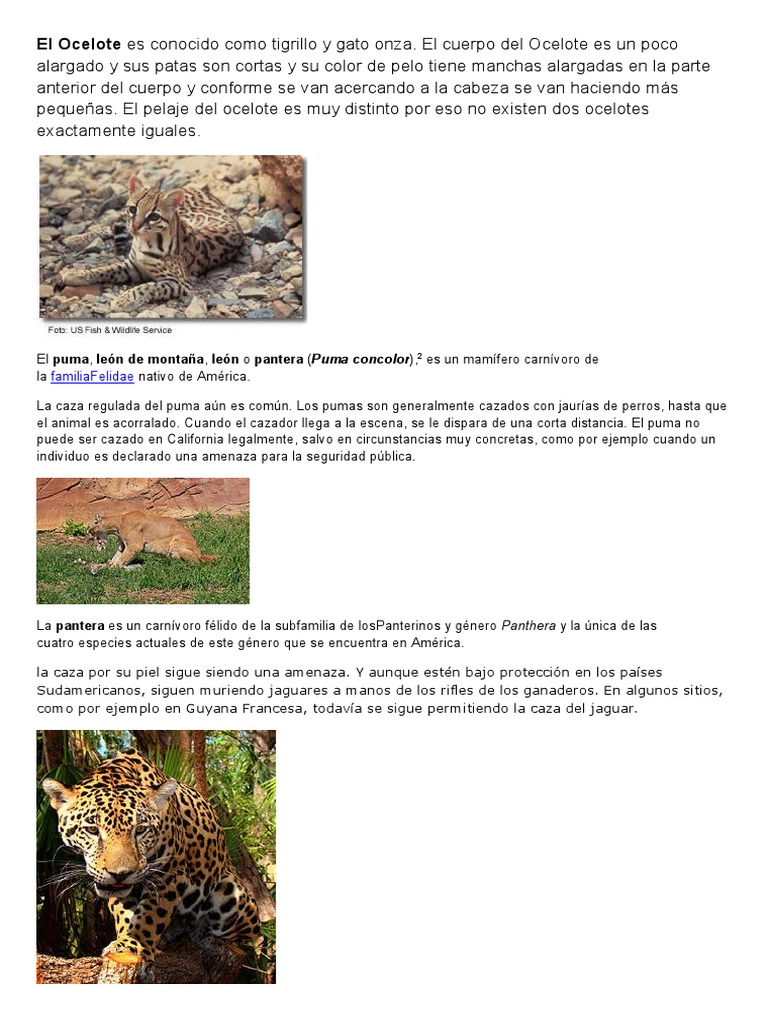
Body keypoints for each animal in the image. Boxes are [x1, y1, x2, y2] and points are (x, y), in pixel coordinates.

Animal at [42, 750, 262, 983]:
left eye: (140, 830)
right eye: (92, 829)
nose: (120, 874)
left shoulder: (170, 875)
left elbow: (151, 917)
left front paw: (134, 945)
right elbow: (126, 914)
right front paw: (126, 942)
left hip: (232, 895)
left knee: (244, 933)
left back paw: (202, 935)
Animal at [58, 175, 244, 313]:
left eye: (154, 216)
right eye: (133, 209)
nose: (134, 226)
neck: (145, 241)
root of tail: (196, 188)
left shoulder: (180, 282)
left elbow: (147, 287)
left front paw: (124, 299)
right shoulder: (131, 265)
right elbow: (104, 269)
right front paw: (77, 274)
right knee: (110, 227)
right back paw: (77, 239)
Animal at [86, 509, 219, 572]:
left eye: (91, 528)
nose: (88, 533)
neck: (118, 523)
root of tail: (200, 552)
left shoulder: (134, 546)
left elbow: (119, 562)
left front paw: (106, 568)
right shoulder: (123, 546)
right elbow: (116, 558)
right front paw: (101, 564)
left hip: (175, 543)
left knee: (196, 563)